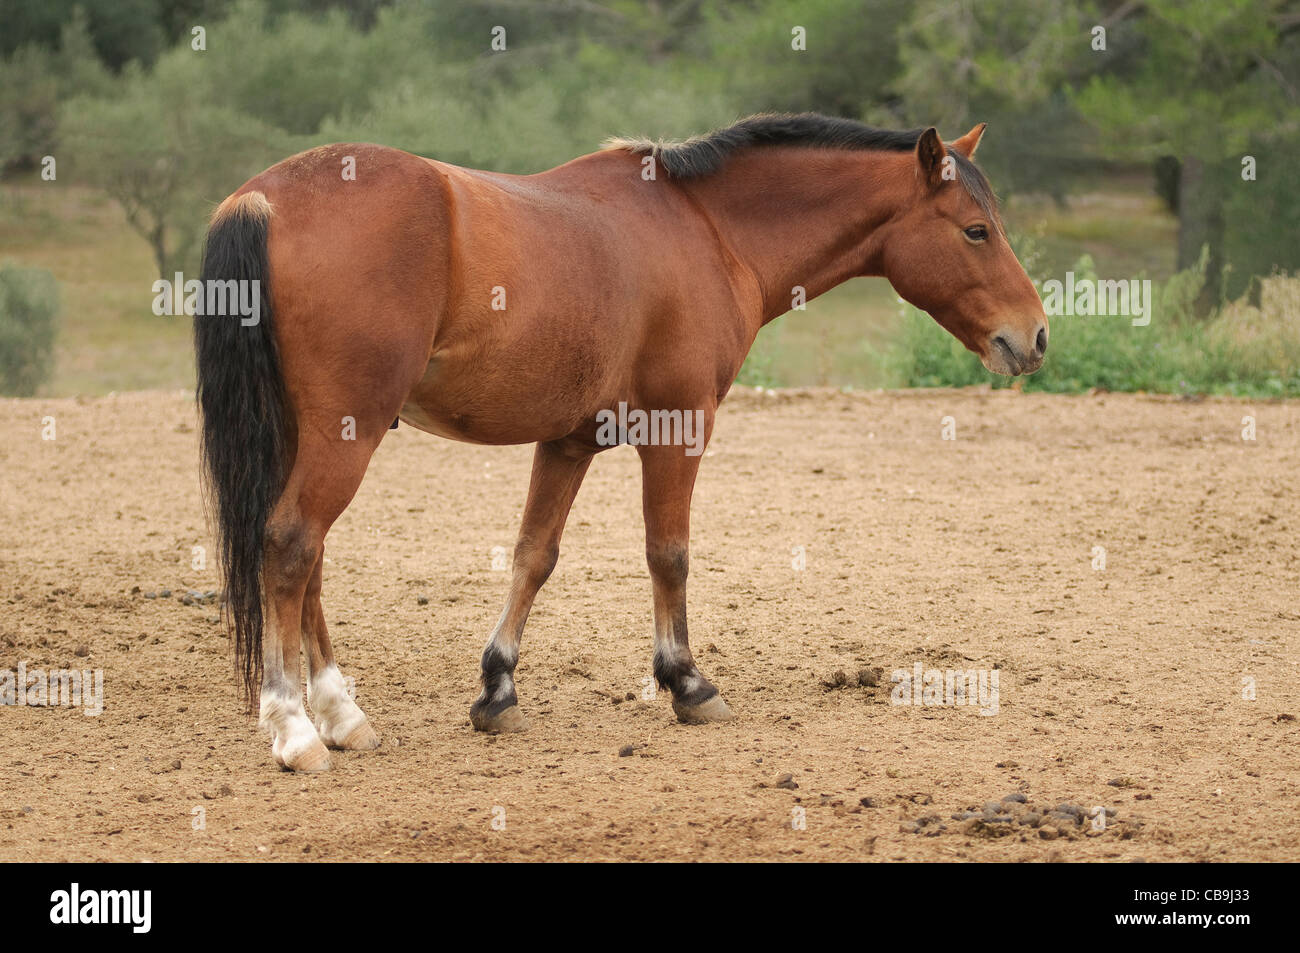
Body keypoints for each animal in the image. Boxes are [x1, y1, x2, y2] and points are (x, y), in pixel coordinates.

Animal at [195, 113, 1047, 772]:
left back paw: (344, 715)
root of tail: (264, 197)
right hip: (347, 436)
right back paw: (297, 729)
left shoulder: (568, 442)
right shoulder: (679, 428)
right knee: (291, 546)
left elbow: (533, 557)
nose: (1034, 336)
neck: (708, 230)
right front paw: (687, 683)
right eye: (976, 230)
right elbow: (668, 554)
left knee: (306, 560)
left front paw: (498, 690)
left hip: (312, 437)